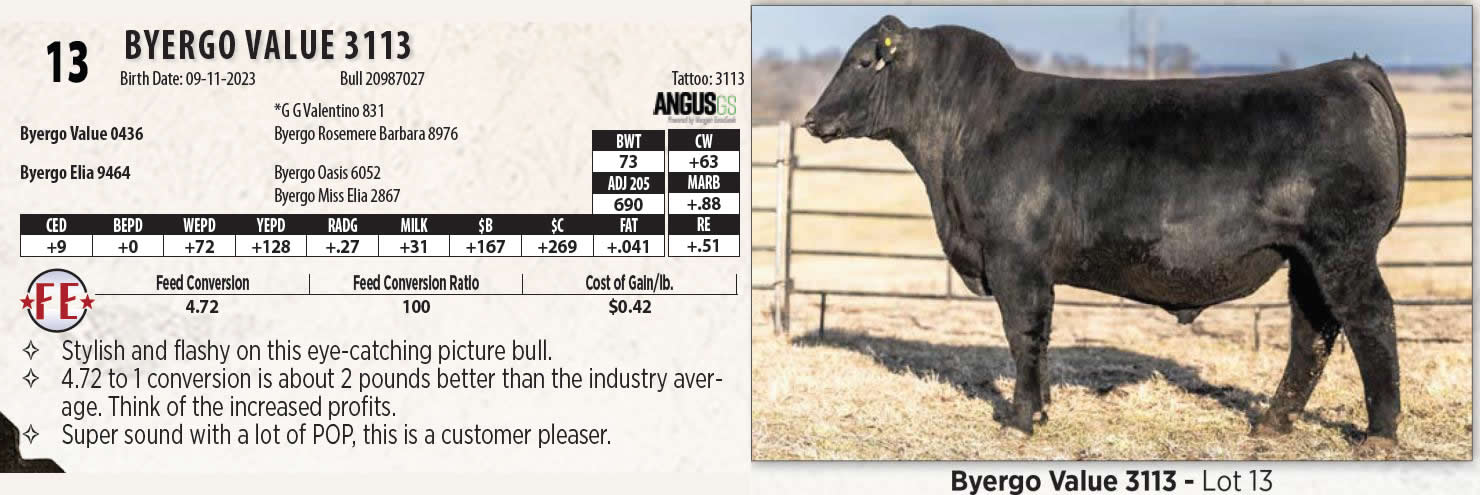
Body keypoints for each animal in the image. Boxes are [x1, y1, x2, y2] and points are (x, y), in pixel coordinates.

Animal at [803, 16, 1406, 451]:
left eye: (862, 61)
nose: (811, 118)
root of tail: (1346, 70)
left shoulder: (1014, 259)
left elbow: (1022, 334)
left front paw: (1019, 419)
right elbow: (1039, 339)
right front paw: (1041, 409)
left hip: (1343, 247)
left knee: (1369, 317)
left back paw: (1379, 433)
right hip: (1304, 256)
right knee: (1313, 330)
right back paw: (1273, 423)